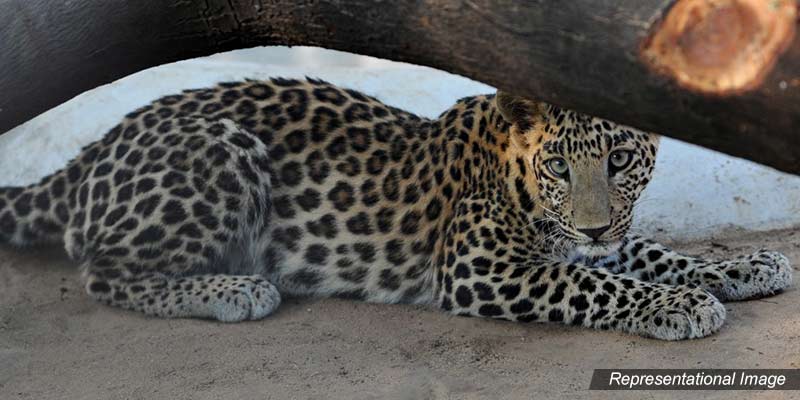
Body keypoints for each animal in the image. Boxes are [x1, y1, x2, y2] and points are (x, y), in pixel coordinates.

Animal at [0, 77, 792, 340]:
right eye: (559, 165)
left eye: (621, 161)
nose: (595, 223)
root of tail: (97, 146)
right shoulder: (482, 267)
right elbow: (598, 282)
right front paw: (681, 307)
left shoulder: (593, 236)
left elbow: (651, 252)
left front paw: (748, 266)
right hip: (223, 148)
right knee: (102, 272)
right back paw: (234, 289)